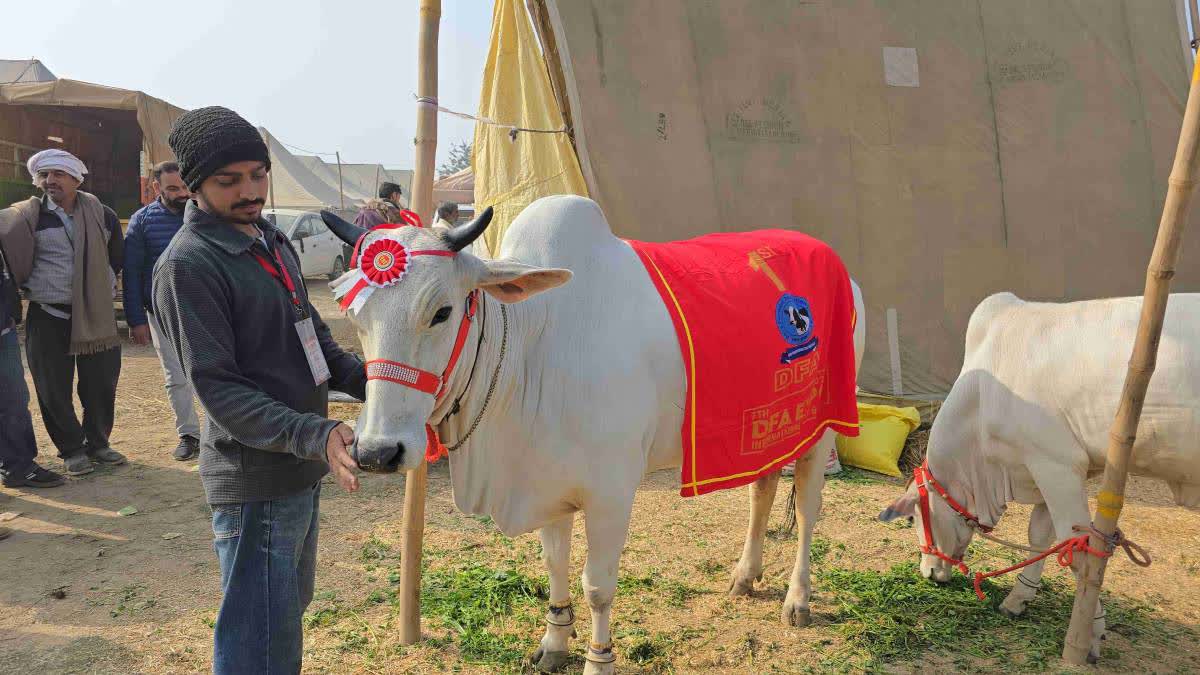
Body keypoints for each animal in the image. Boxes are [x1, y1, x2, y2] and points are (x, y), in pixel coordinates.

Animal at [319, 195, 865, 674]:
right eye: (354, 314)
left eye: (442, 311)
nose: (378, 451)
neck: (532, 345)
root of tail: (838, 264)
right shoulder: (546, 484)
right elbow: (554, 567)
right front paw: (554, 643)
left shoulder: (611, 493)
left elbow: (597, 586)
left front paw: (598, 660)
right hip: (767, 430)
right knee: (763, 488)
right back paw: (745, 575)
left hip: (823, 424)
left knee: (808, 509)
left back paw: (797, 599)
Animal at [880, 292, 1200, 662]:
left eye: (912, 518)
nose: (929, 572)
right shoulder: (1044, 468)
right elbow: (1042, 536)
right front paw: (1019, 598)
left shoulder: (1057, 464)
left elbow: (1080, 552)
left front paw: (1090, 634)